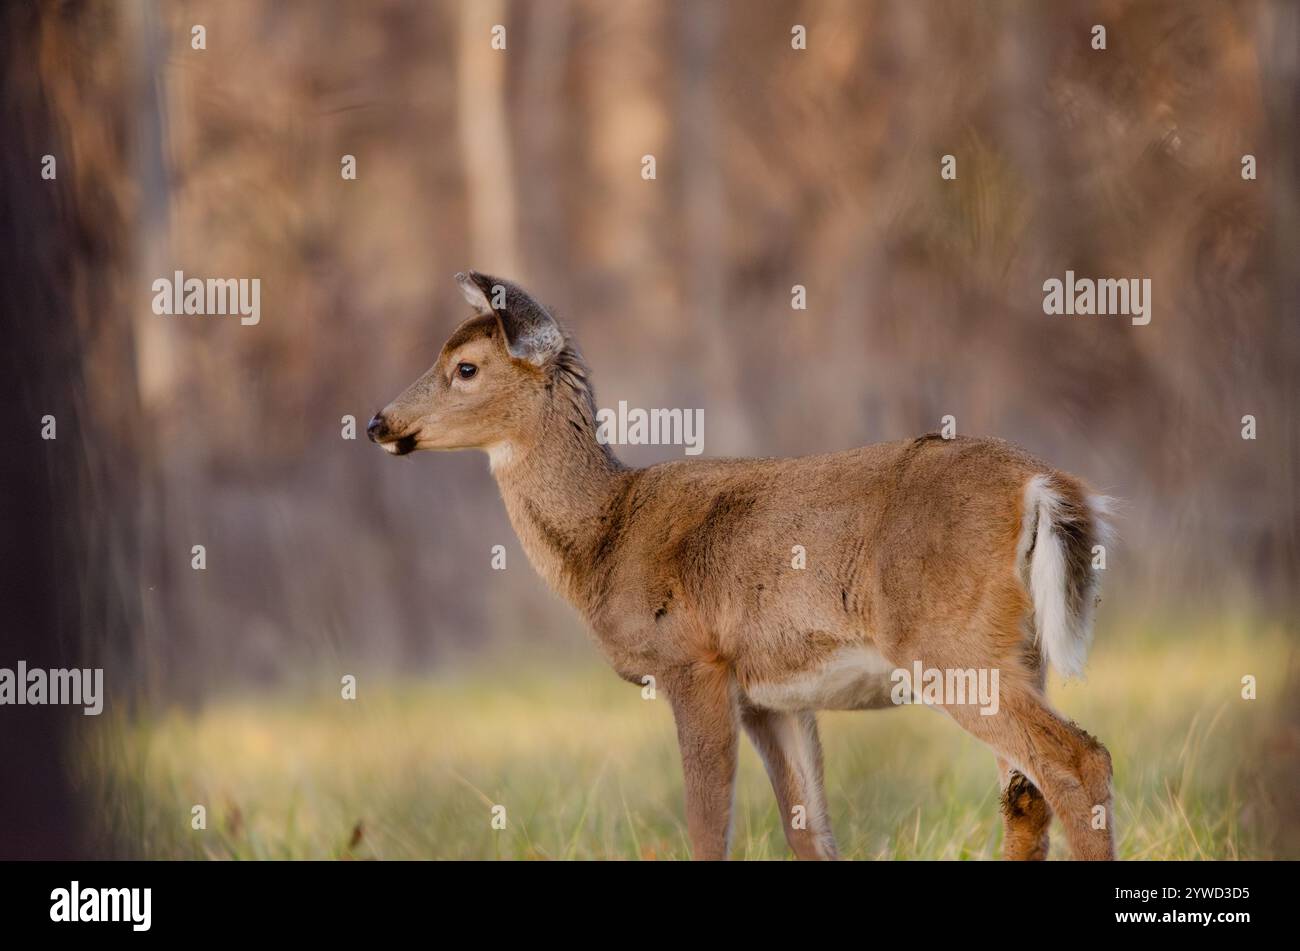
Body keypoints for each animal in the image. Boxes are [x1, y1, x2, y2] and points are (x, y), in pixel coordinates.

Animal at [368, 271, 1116, 861]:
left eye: (465, 366)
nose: (378, 422)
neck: (605, 534)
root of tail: (1042, 485)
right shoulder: (769, 697)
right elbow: (809, 833)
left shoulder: (694, 662)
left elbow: (707, 832)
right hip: (1020, 653)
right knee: (1025, 796)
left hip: (949, 644)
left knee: (1074, 759)